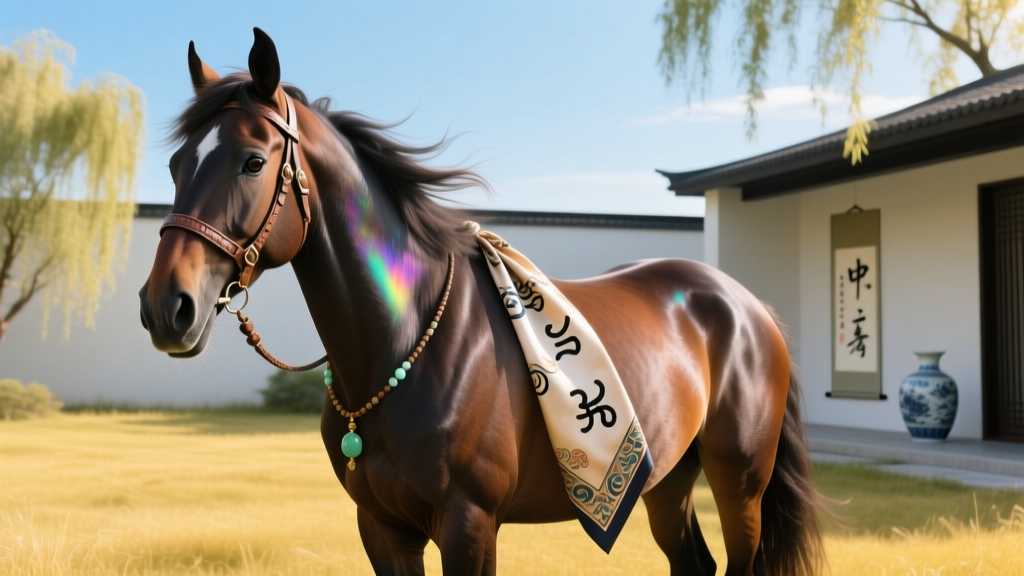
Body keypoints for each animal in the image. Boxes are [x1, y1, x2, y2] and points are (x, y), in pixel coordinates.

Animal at [139, 28, 825, 576]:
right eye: (176, 165)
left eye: (254, 162)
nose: (165, 307)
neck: (406, 341)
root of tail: (748, 305)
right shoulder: (381, 529)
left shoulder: (469, 525)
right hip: (666, 478)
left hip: (740, 484)